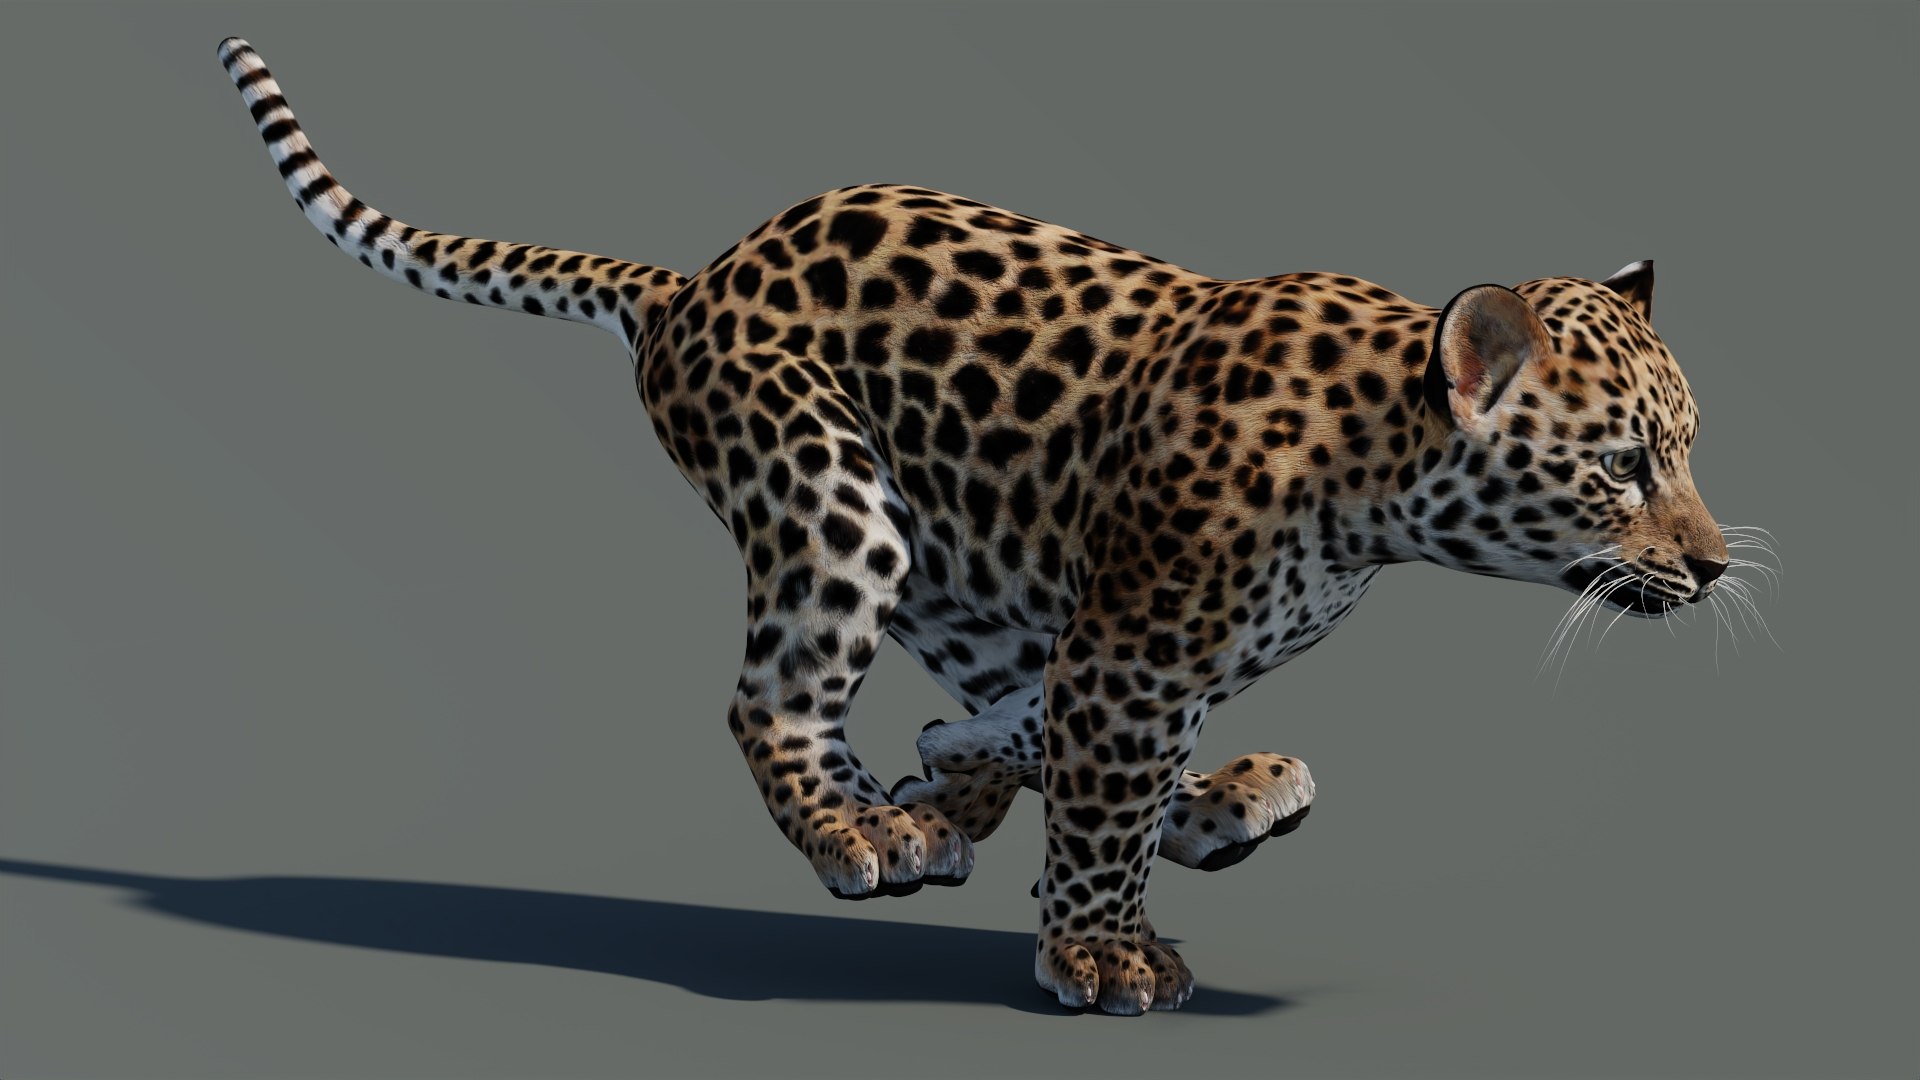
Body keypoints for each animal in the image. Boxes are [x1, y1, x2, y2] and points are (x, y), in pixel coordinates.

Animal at [218, 37, 1745, 1014]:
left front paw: (1057, 796)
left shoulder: (1126, 639)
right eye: (1624, 467)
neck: (1378, 472)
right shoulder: (1132, 646)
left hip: (959, 552)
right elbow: (1099, 787)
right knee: (770, 697)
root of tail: (692, 281)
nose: (1717, 563)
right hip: (834, 495)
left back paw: (1098, 792)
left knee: (970, 690)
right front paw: (1103, 954)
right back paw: (866, 830)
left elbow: (1076, 747)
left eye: (1686, 456)